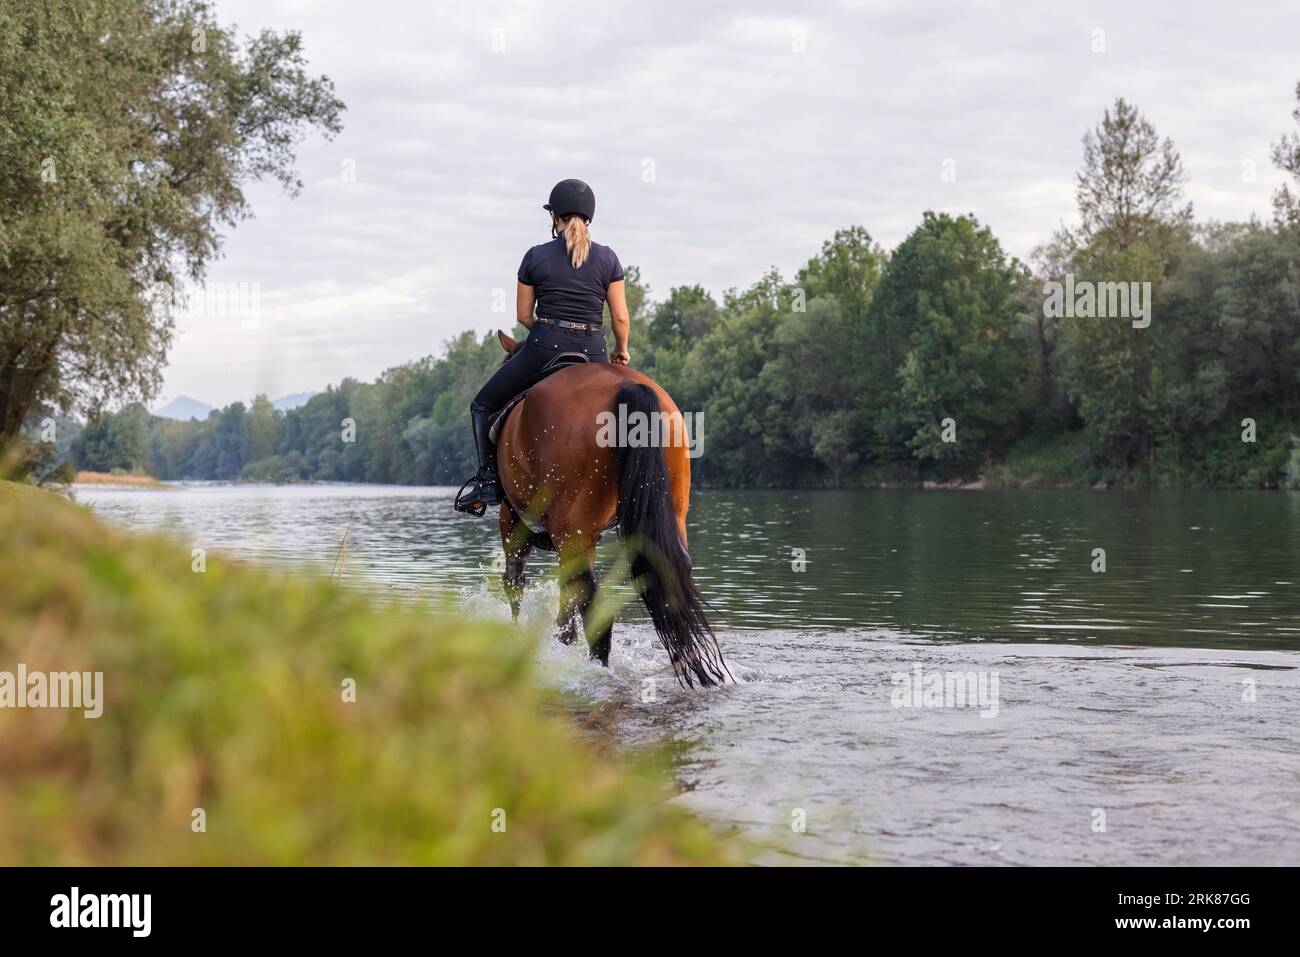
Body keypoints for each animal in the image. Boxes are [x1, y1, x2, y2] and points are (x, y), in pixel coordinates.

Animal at [490, 330, 729, 688]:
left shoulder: (514, 521)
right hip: (664, 519)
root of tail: (626, 387)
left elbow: (515, 582)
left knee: (590, 601)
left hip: (569, 532)